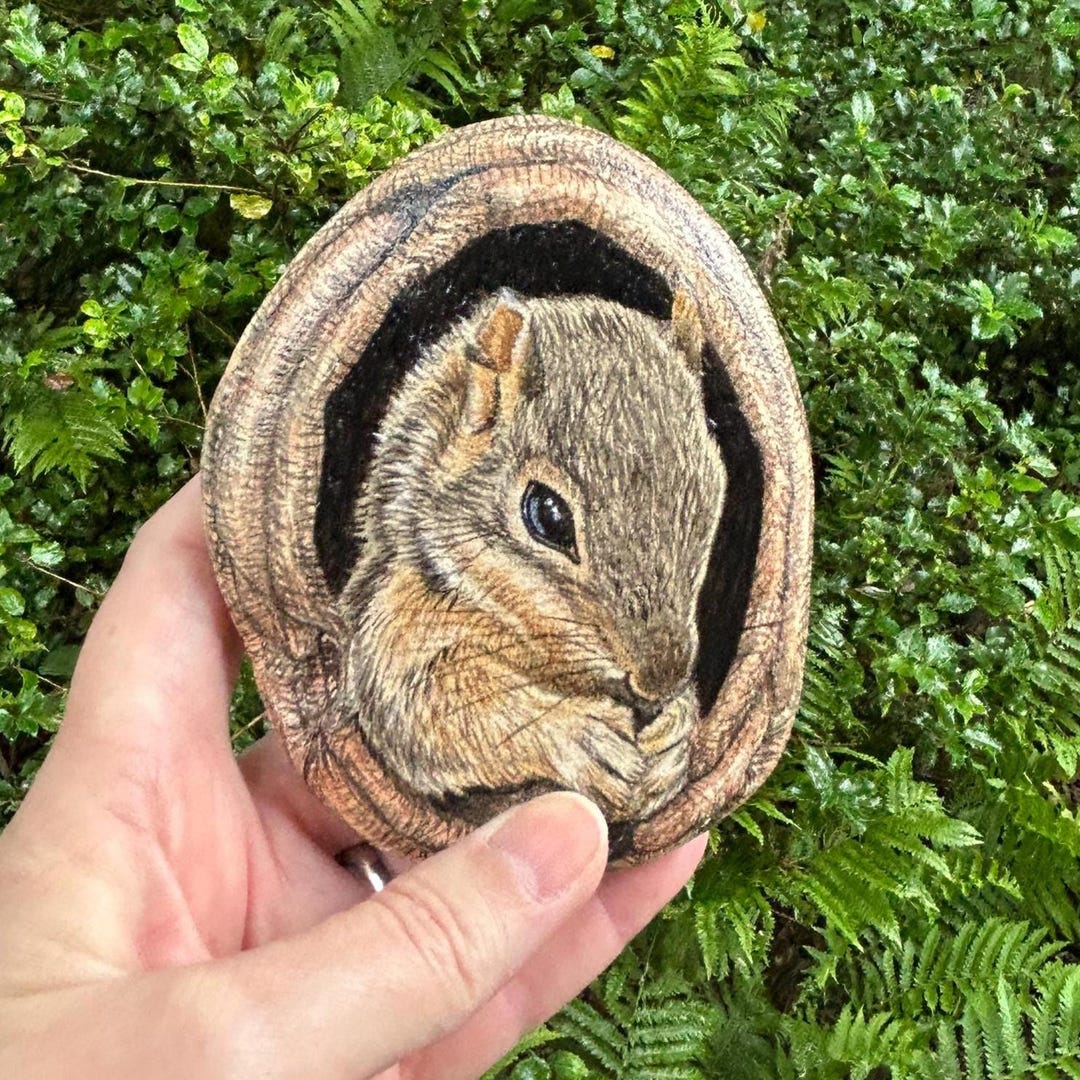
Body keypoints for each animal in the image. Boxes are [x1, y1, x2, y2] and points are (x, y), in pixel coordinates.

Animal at [338, 288, 727, 823]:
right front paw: (582, 735)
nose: (658, 682)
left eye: (712, 490)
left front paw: (674, 736)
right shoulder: (395, 603)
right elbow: (422, 705)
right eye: (547, 515)